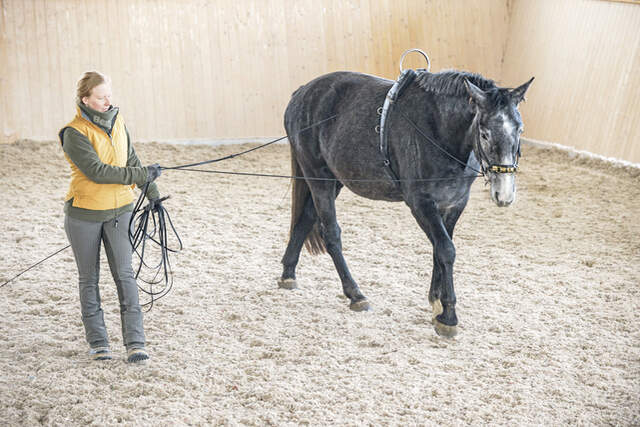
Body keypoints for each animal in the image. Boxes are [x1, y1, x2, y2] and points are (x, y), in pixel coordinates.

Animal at [277, 68, 533, 337]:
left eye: (520, 130)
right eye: (484, 133)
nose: (504, 194)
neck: (439, 130)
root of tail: (302, 92)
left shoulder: (454, 204)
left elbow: (440, 249)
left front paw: (436, 301)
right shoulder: (421, 203)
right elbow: (446, 249)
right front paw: (448, 316)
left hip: (332, 179)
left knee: (306, 217)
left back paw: (288, 273)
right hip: (319, 177)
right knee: (331, 234)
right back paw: (355, 294)